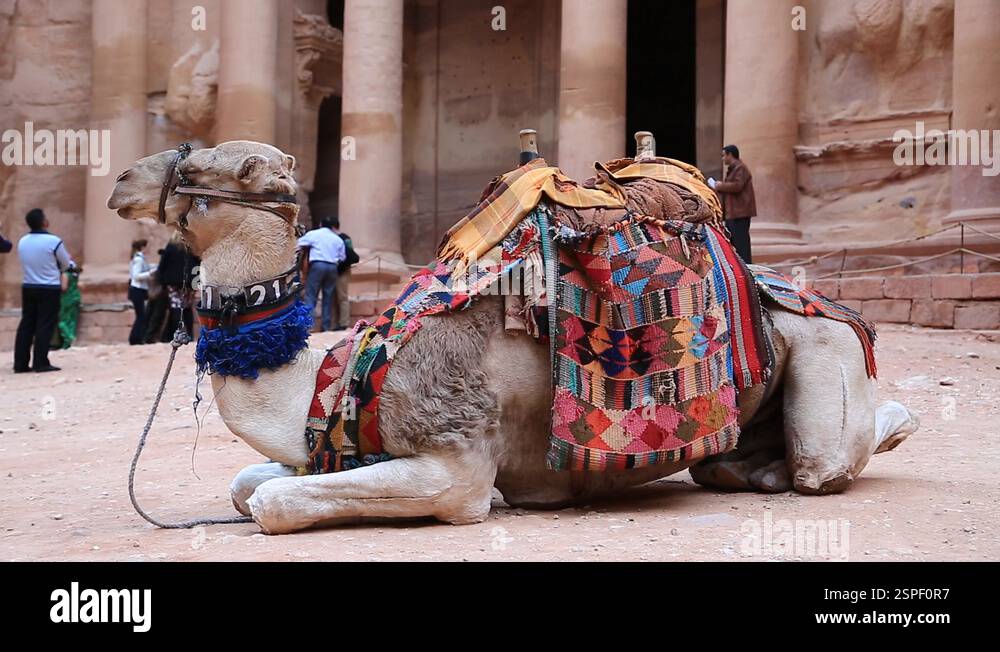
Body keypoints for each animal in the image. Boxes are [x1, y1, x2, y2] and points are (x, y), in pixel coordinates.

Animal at [108, 140, 919, 534]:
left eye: (201, 165)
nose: (116, 180)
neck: (328, 372)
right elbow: (248, 486)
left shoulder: (456, 460)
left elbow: (274, 504)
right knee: (737, 465)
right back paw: (760, 466)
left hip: (826, 352)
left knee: (828, 460)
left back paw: (878, 432)